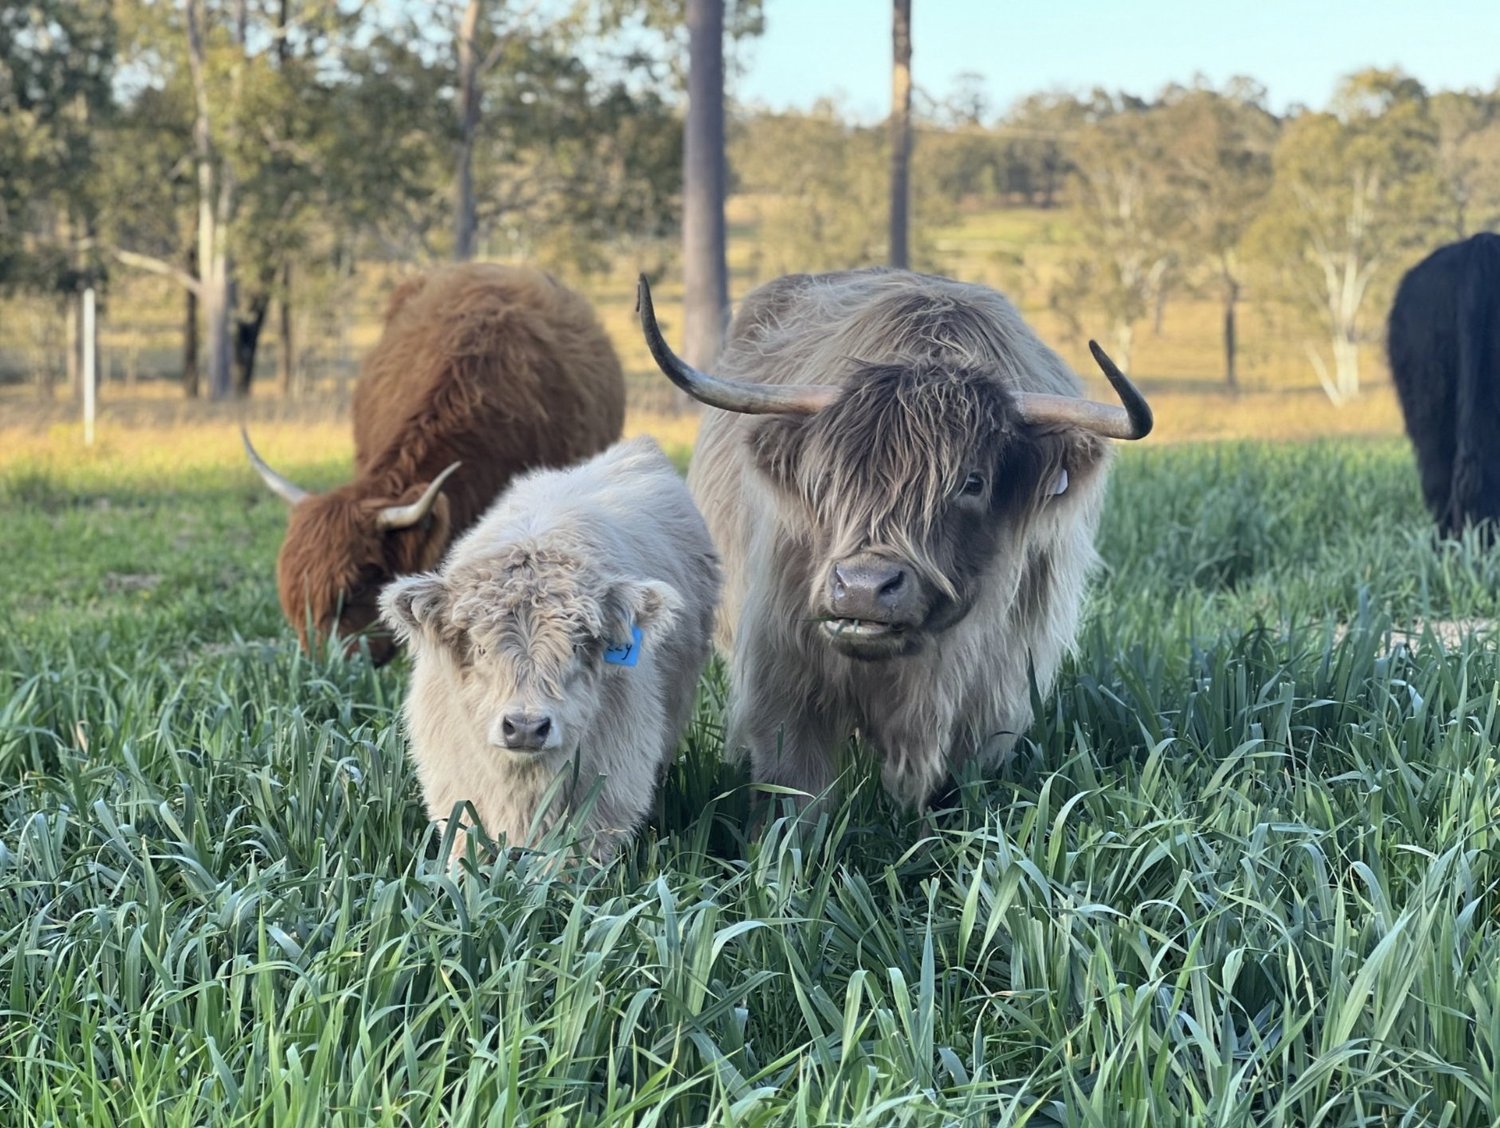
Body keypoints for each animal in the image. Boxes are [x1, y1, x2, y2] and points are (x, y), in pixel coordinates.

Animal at [636, 268, 1151, 811]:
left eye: (973, 482)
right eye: (826, 477)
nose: (863, 588)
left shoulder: (993, 693)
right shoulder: (784, 672)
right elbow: (793, 792)